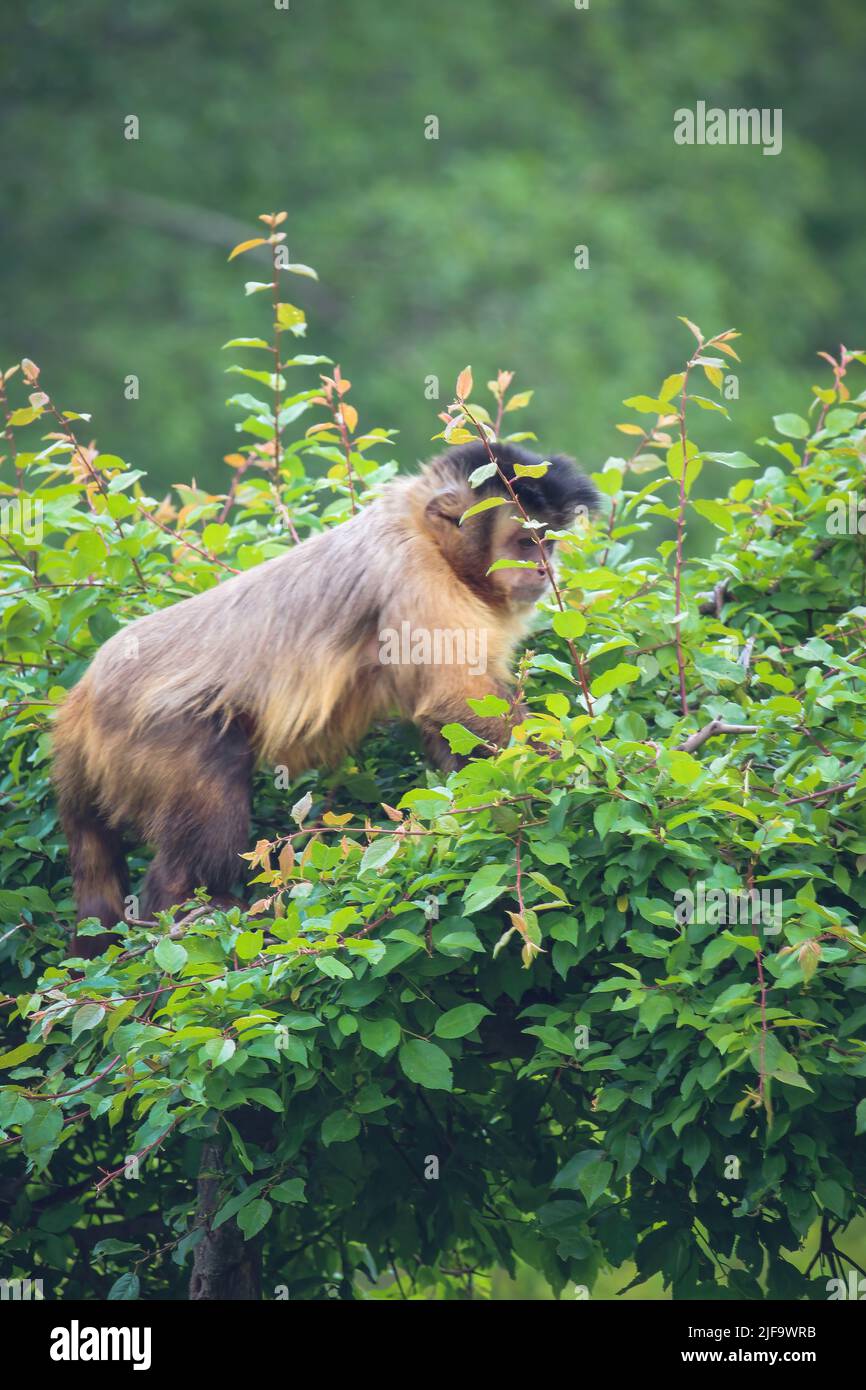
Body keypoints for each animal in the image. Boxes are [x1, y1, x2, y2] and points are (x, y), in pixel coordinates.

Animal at [52, 441, 598, 955]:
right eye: (525, 543)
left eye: (549, 544)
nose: (544, 571)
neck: (430, 540)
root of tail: (81, 700)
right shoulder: (417, 573)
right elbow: (455, 699)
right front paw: (575, 775)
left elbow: (450, 725)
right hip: (146, 727)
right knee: (216, 762)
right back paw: (190, 907)